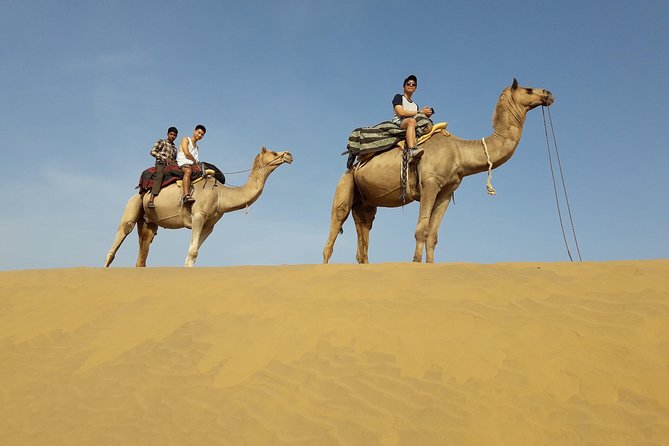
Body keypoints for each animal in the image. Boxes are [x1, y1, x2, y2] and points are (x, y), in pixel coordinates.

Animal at [105, 147, 293, 267]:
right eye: (274, 152)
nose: (289, 155)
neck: (220, 195)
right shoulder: (199, 215)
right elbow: (192, 252)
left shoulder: (209, 225)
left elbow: (193, 253)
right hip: (133, 206)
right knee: (117, 243)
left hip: (148, 222)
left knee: (142, 254)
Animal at [323, 79, 554, 264]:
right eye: (529, 90)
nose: (548, 94)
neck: (459, 151)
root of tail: (353, 164)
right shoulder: (430, 183)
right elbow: (422, 230)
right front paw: (415, 263)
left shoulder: (446, 191)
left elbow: (433, 236)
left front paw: (430, 266)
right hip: (345, 183)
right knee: (335, 225)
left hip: (365, 203)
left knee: (364, 236)